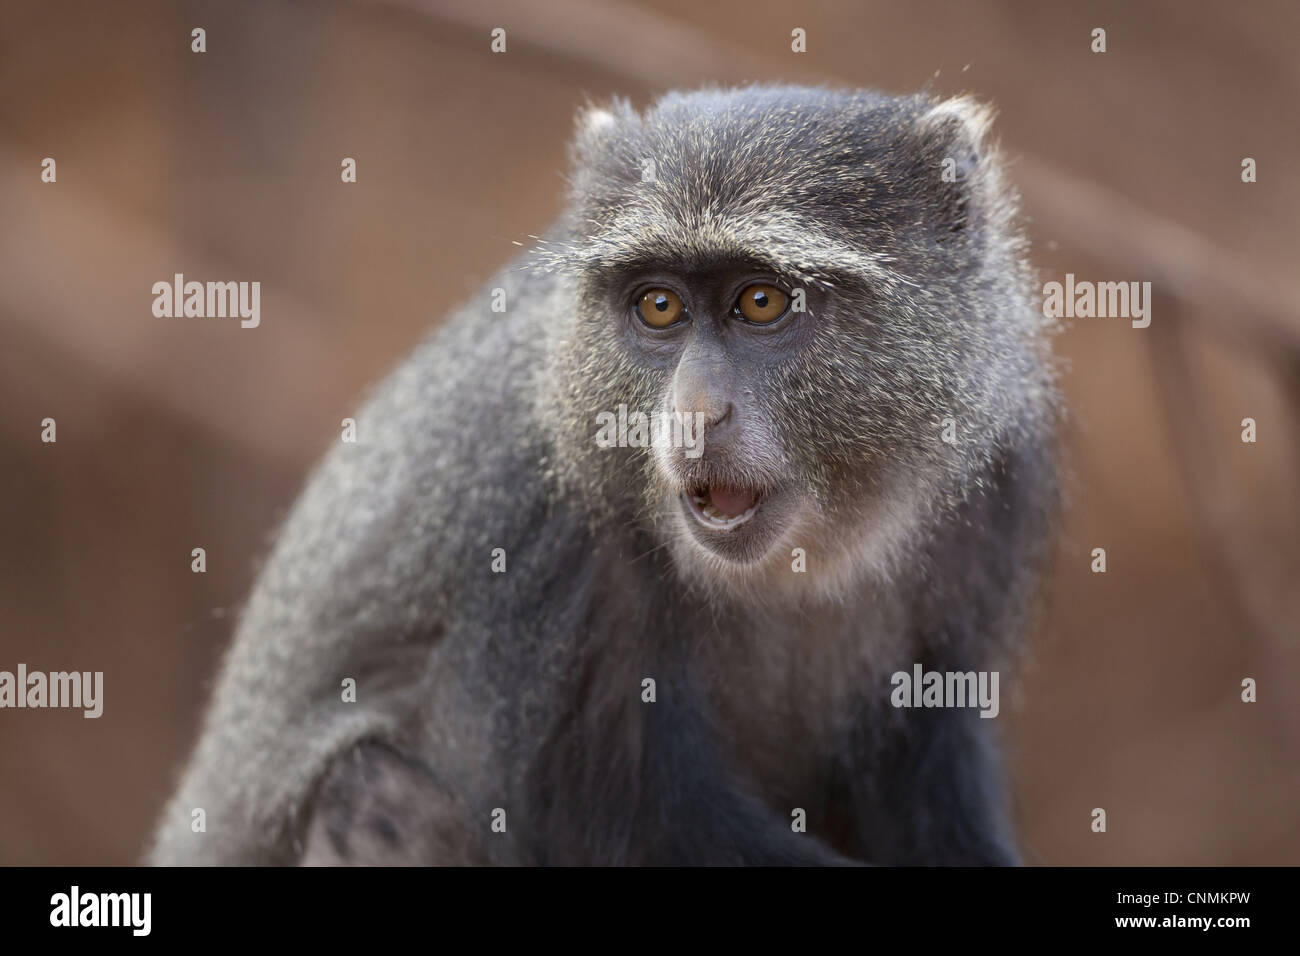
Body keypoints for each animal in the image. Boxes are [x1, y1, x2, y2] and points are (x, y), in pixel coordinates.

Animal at [149, 85, 1059, 866]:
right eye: (658, 307)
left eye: (762, 302)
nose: (693, 417)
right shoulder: (539, 532)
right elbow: (640, 830)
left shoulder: (995, 474)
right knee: (376, 795)